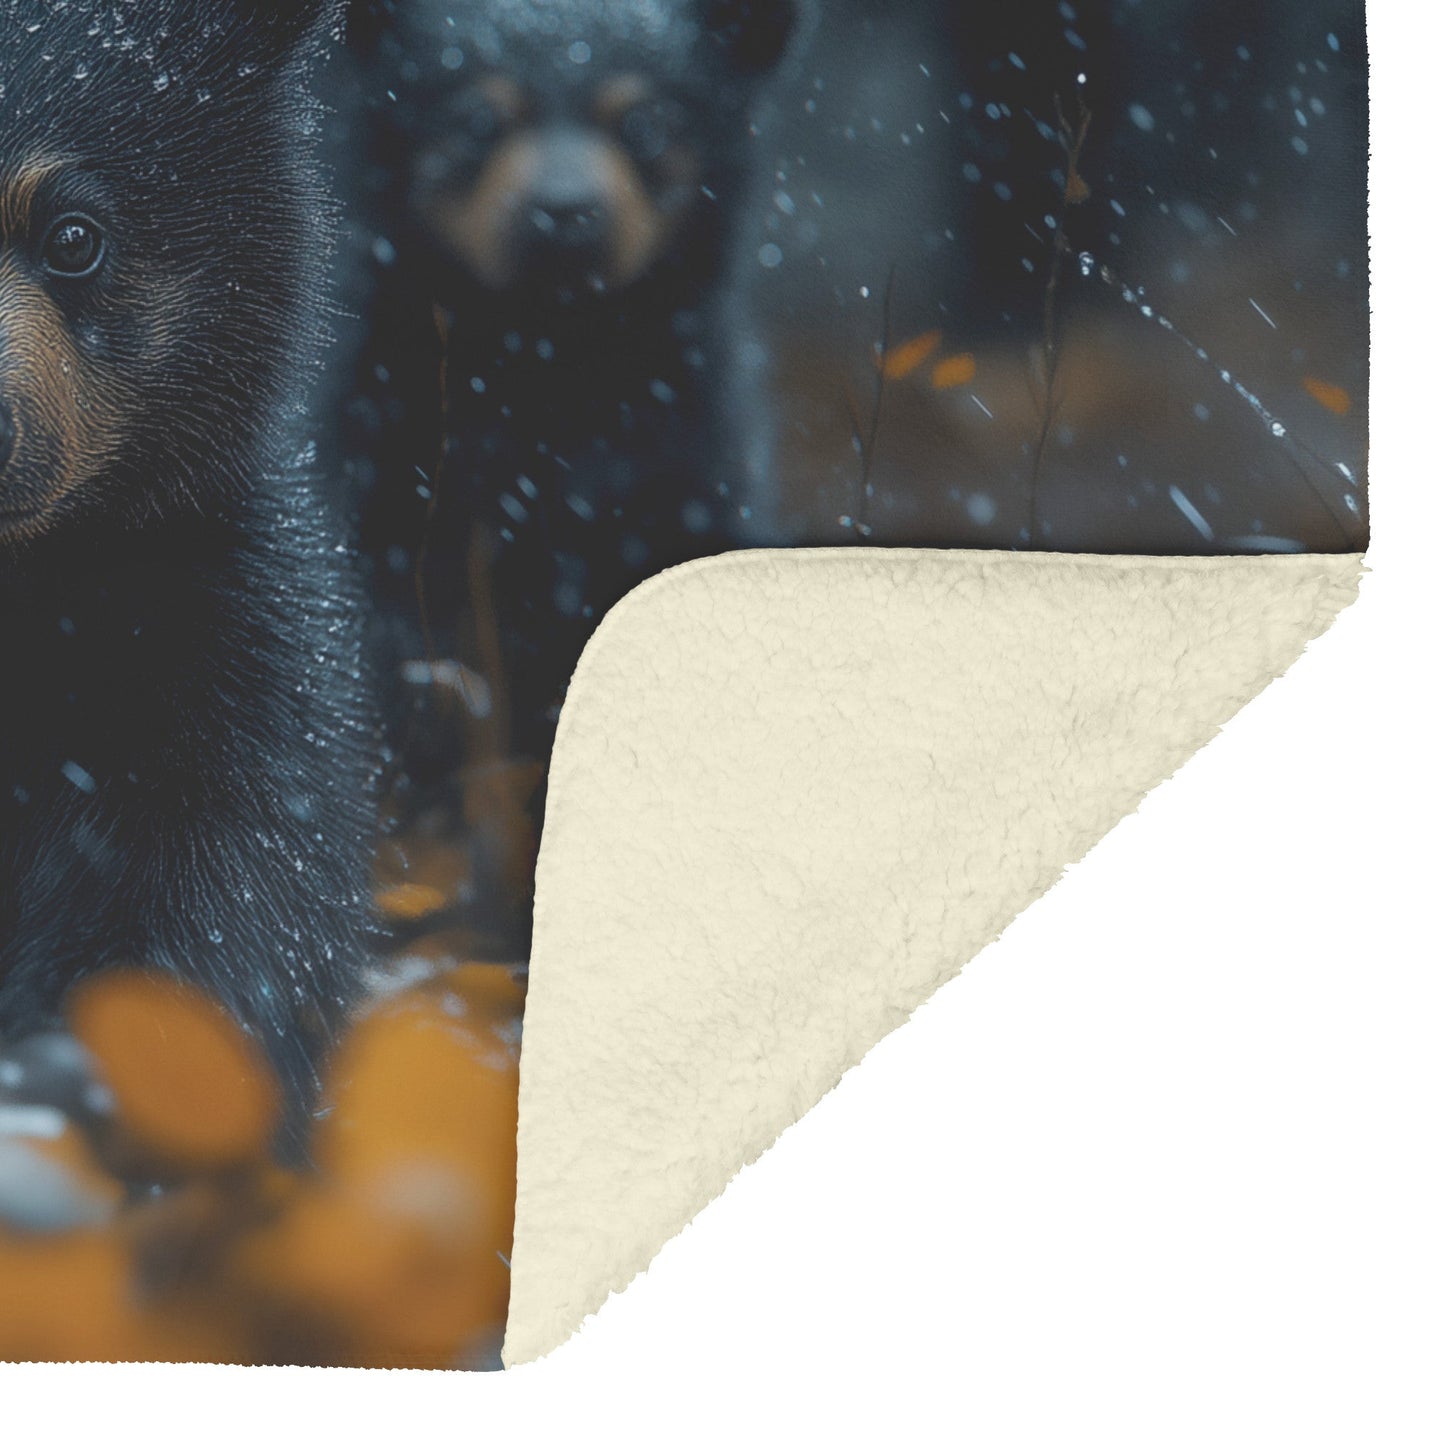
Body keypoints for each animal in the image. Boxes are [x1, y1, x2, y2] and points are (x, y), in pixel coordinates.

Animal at [327, 0, 803, 949]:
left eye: (645, 122)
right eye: (477, 119)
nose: (562, 212)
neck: (544, 369)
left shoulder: (683, 466)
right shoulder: (377, 449)